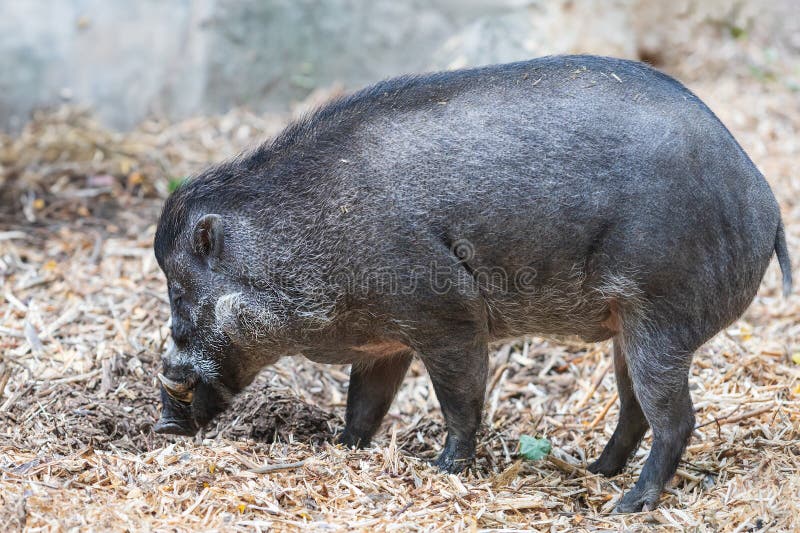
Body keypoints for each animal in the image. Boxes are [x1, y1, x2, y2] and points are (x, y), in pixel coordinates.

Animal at [152, 55, 792, 512]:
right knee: (634, 411)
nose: (164, 420)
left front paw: (442, 470)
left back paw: (627, 505)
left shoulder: (448, 314)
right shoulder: (385, 341)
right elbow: (365, 405)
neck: (307, 238)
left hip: (661, 318)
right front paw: (340, 450)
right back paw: (593, 472)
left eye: (181, 292)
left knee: (676, 419)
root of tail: (766, 203)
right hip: (628, 330)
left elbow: (460, 402)